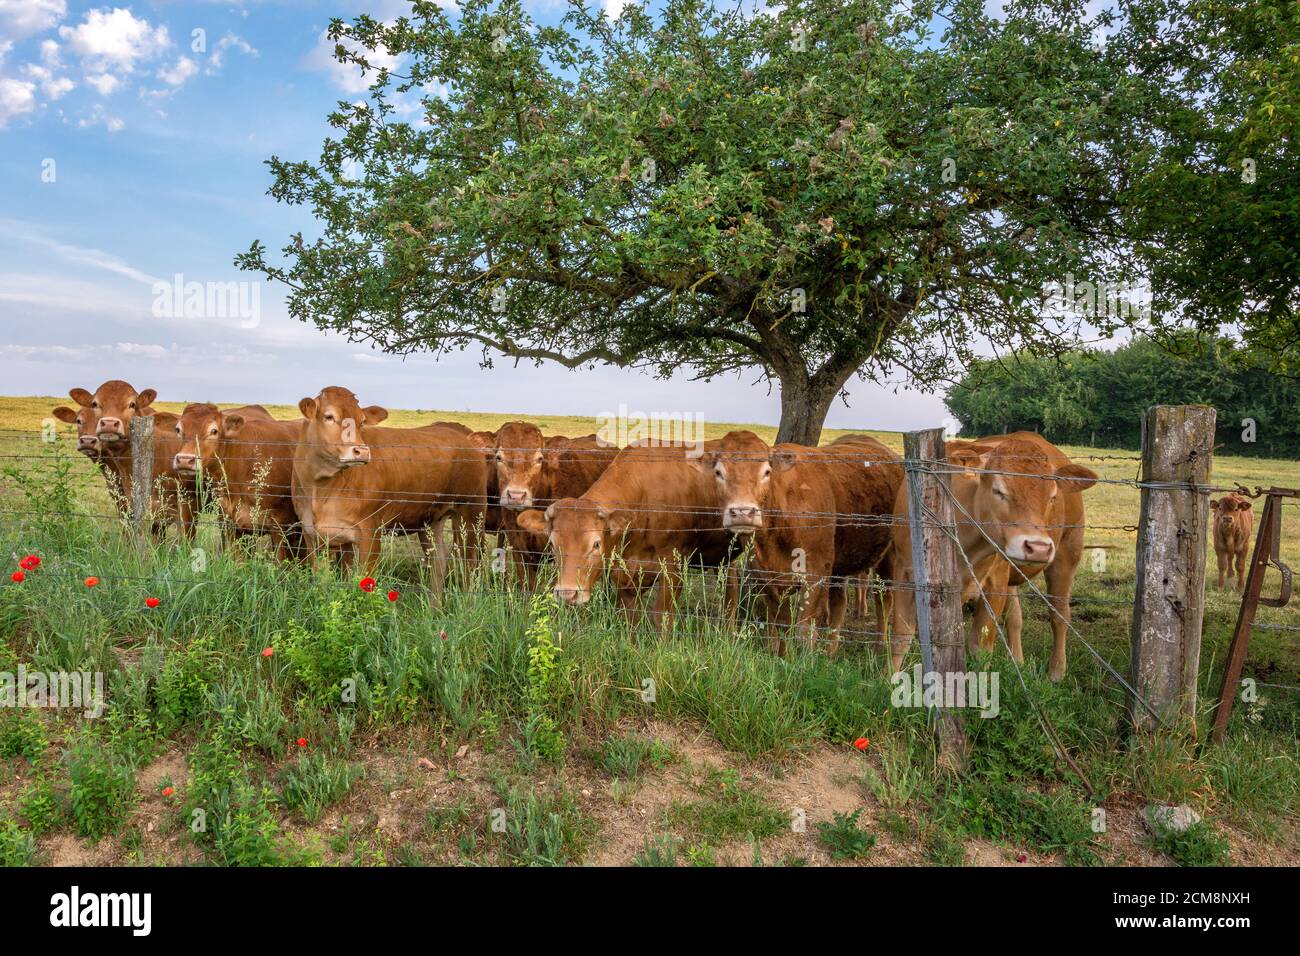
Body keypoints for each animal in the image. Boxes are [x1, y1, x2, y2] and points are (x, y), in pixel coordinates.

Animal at [291, 386, 487, 580]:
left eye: (362, 421)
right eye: (329, 416)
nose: (362, 451)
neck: (320, 490)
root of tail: (464, 438)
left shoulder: (370, 533)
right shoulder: (312, 535)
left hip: (471, 515)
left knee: (470, 567)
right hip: (432, 521)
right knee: (439, 563)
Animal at [515, 439, 737, 631]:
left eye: (596, 544)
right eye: (552, 544)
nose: (568, 594)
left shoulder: (673, 571)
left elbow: (662, 617)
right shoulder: (623, 575)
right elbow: (630, 619)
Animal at [699, 431, 903, 654]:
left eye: (766, 472)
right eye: (719, 472)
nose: (743, 512)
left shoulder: (815, 574)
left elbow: (803, 629)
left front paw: (803, 658)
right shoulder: (764, 575)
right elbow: (780, 623)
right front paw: (780, 655)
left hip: (889, 555)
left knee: (884, 600)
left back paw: (880, 648)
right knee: (839, 602)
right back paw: (830, 652)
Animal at [888, 432, 1097, 681]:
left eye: (1052, 497)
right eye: (999, 491)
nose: (1037, 547)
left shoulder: (994, 583)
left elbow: (981, 647)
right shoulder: (903, 572)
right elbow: (901, 636)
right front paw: (888, 679)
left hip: (1066, 555)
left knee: (1059, 616)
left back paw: (1056, 671)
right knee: (1015, 618)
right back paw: (1018, 660)